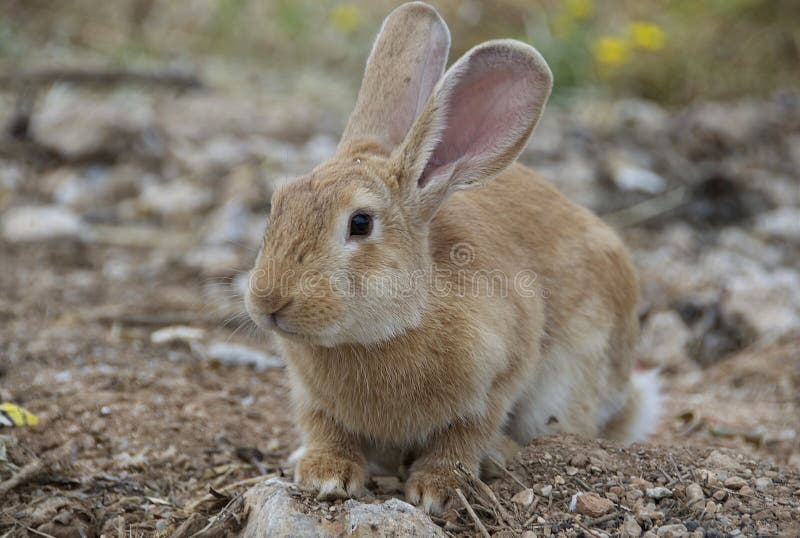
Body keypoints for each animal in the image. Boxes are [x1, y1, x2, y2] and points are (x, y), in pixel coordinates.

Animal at [245, 1, 661, 515]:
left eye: (360, 223)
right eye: (277, 205)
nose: (268, 302)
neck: (385, 332)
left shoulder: (497, 378)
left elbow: (464, 436)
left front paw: (436, 489)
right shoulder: (311, 398)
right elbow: (324, 427)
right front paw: (324, 474)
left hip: (567, 386)